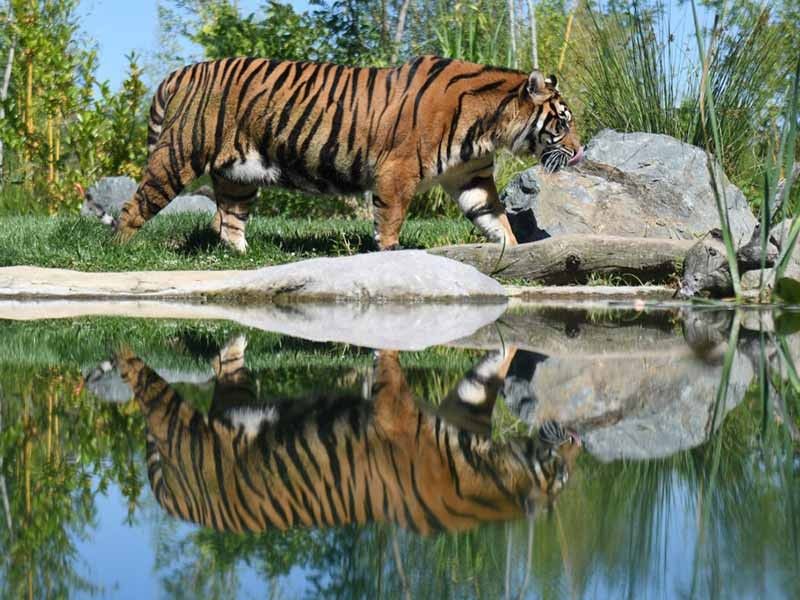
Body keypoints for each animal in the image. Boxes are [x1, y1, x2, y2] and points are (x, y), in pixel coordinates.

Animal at [114, 55, 583, 253]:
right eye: (563, 123)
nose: (579, 153)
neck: (490, 126)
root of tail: (183, 71)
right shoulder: (397, 172)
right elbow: (390, 221)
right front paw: (390, 256)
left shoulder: (470, 176)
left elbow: (494, 218)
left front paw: (516, 252)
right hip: (178, 156)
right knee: (132, 207)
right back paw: (121, 252)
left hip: (238, 175)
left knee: (229, 220)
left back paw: (243, 256)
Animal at [114, 339, 582, 535]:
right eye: (561, 474)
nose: (577, 441)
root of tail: (170, 501)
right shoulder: (396, 409)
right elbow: (388, 364)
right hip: (178, 424)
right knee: (147, 387)